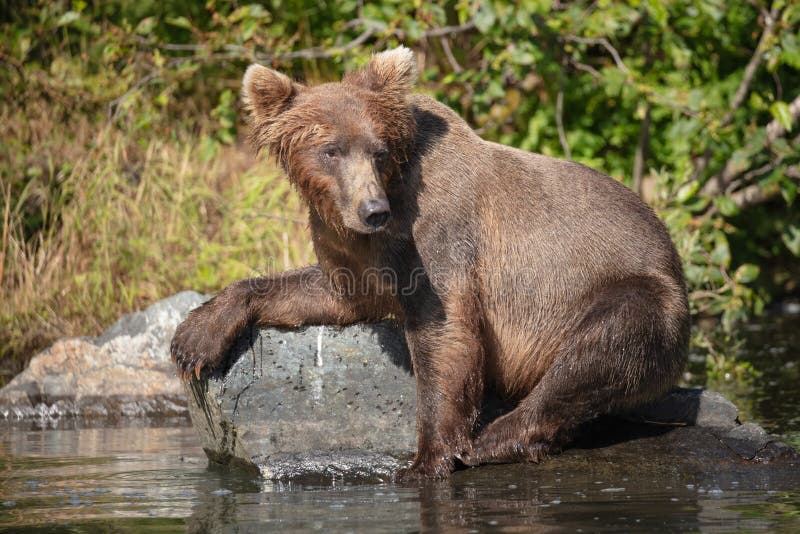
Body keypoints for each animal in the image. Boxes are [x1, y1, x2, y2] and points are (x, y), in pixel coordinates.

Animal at [171, 46, 690, 480]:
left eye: (377, 151)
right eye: (331, 150)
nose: (372, 210)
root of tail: (673, 254)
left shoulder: (439, 233)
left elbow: (445, 333)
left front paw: (426, 459)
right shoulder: (353, 252)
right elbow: (330, 294)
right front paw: (195, 338)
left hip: (635, 293)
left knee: (597, 351)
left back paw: (495, 439)